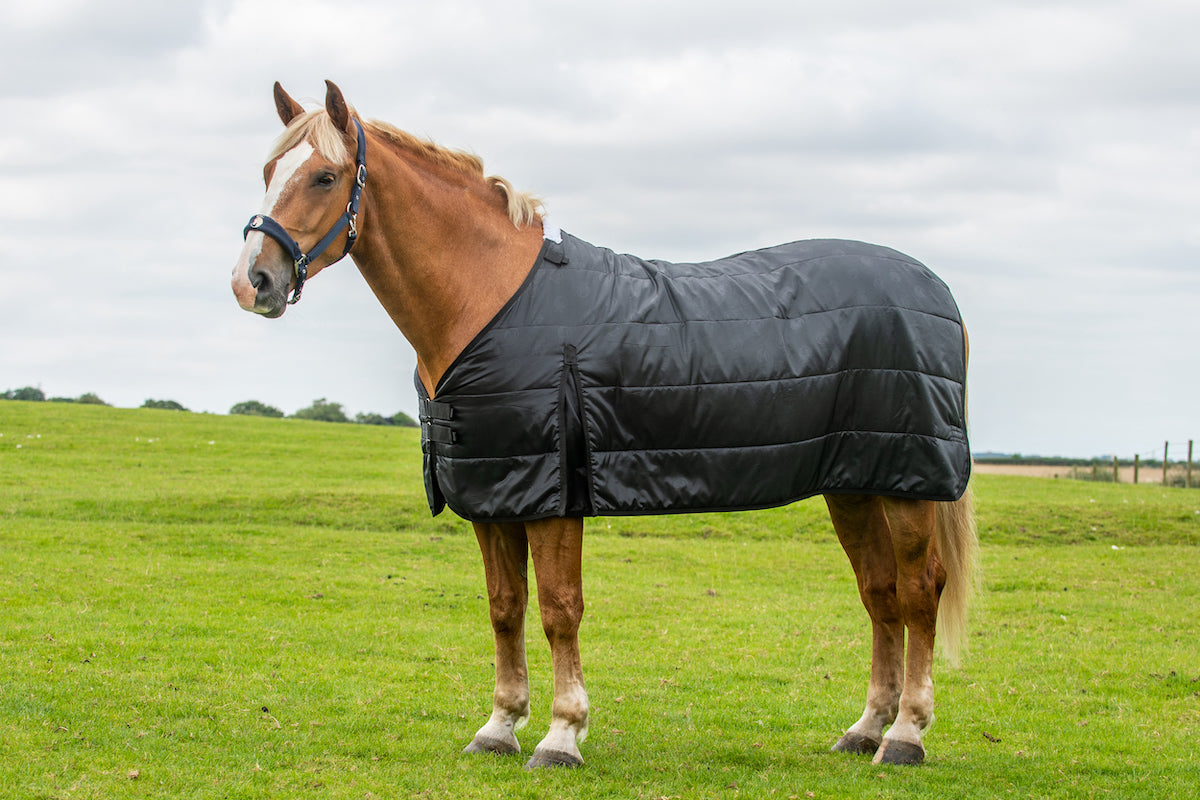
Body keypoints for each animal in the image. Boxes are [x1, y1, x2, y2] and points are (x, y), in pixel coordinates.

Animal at [231, 80, 977, 769]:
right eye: (268, 171)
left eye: (324, 176)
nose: (252, 282)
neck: (489, 297)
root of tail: (934, 288)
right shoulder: (494, 493)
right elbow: (505, 607)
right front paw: (499, 726)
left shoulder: (552, 495)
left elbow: (559, 608)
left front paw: (561, 735)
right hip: (855, 483)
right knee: (880, 593)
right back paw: (866, 729)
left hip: (908, 484)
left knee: (918, 591)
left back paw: (906, 735)